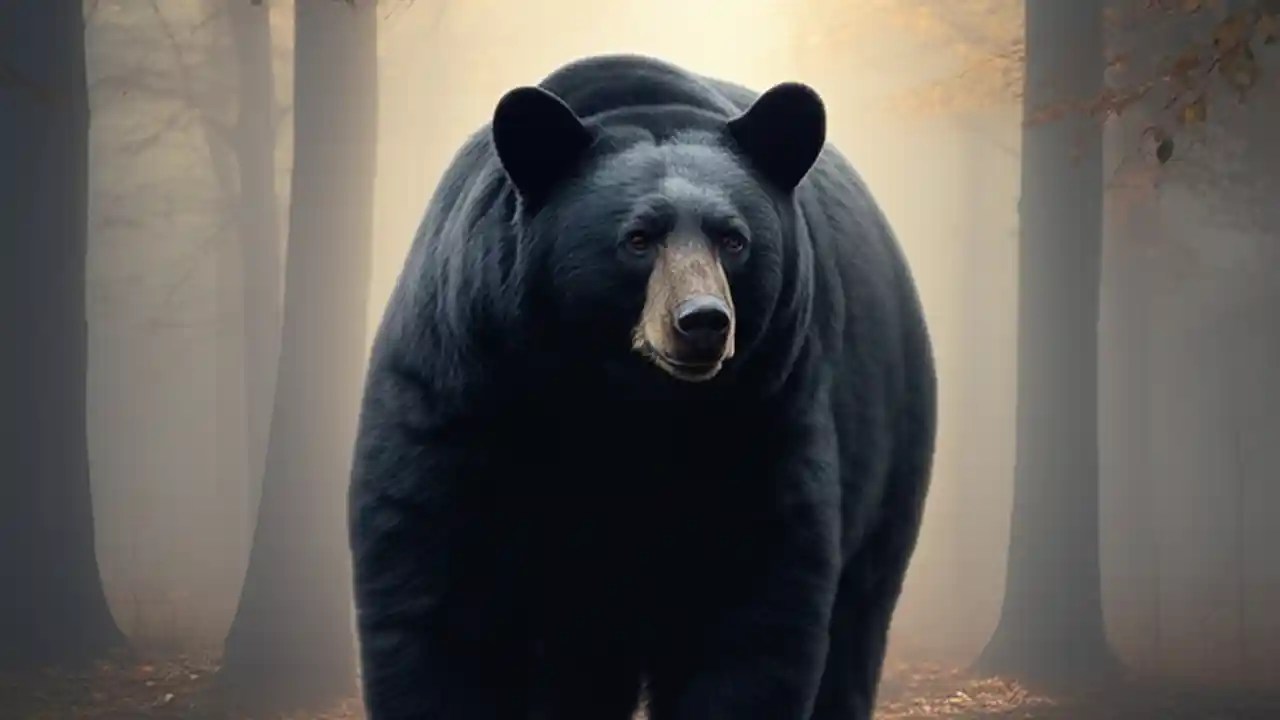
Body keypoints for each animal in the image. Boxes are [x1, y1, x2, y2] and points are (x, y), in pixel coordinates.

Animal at [347, 53, 936, 720]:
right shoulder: (464, 390)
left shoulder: (768, 411)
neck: (624, 404)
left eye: (733, 239)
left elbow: (751, 604)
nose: (703, 321)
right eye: (637, 239)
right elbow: (429, 591)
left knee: (858, 612)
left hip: (893, 436)